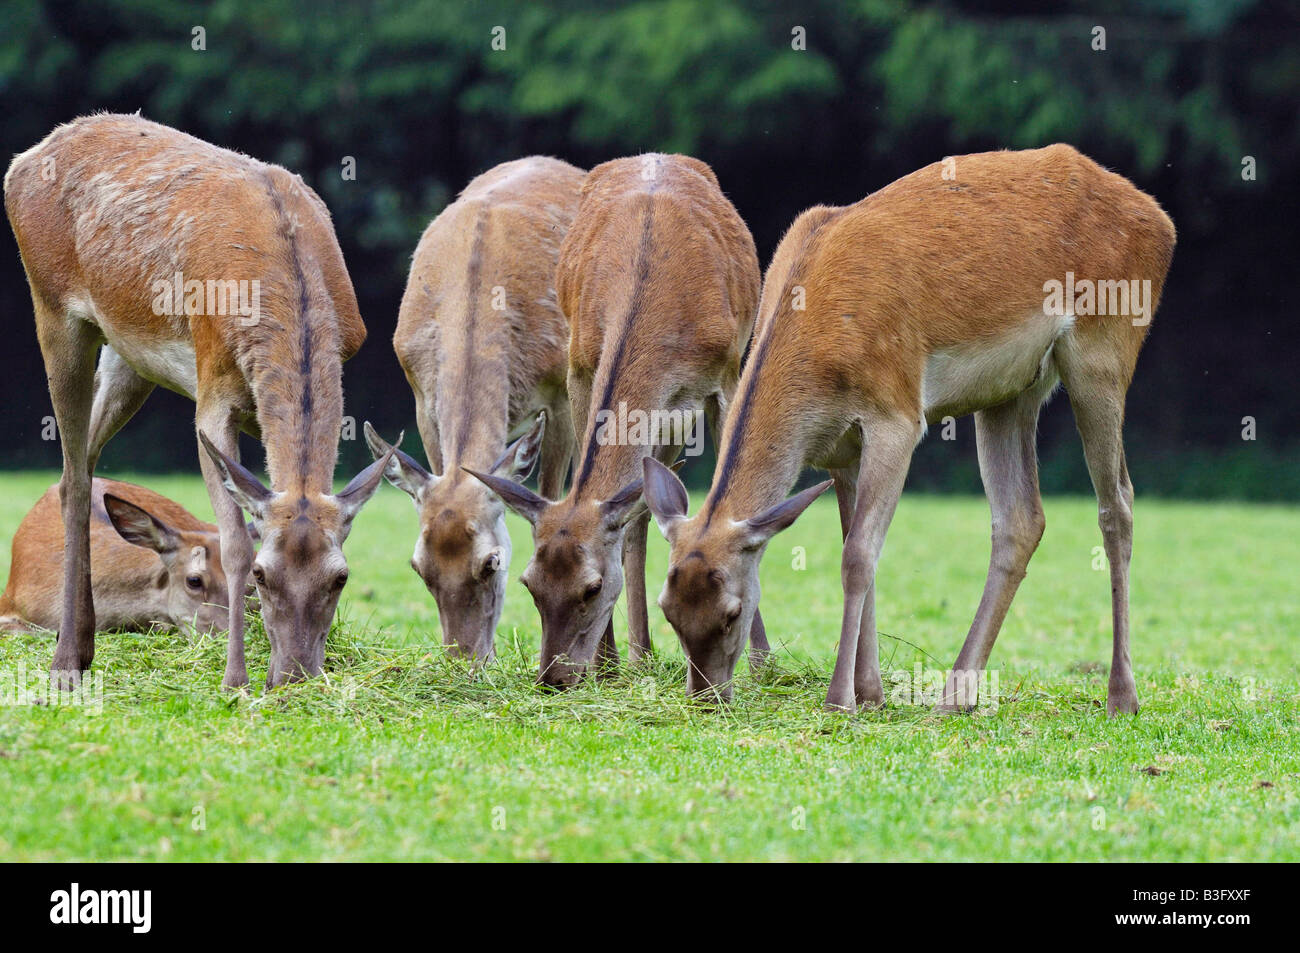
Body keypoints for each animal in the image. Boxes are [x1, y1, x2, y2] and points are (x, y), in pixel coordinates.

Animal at [366, 156, 590, 660]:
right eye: (418, 567)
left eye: (492, 562)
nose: (463, 660)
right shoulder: (421, 398)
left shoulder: (559, 397)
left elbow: (549, 502)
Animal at [470, 152, 759, 686]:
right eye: (529, 583)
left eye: (591, 586)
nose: (554, 677)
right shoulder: (580, 366)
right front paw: (606, 664)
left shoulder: (726, 374)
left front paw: (759, 662)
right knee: (640, 518)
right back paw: (631, 655)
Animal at [639, 144, 1180, 712]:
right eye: (668, 609)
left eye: (732, 612)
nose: (705, 696)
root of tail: (1161, 222)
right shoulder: (841, 449)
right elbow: (858, 546)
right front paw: (871, 692)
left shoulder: (896, 414)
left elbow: (857, 556)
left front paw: (840, 699)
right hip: (1011, 392)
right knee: (1021, 519)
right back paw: (955, 695)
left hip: (1104, 352)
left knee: (1117, 503)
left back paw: (1121, 695)